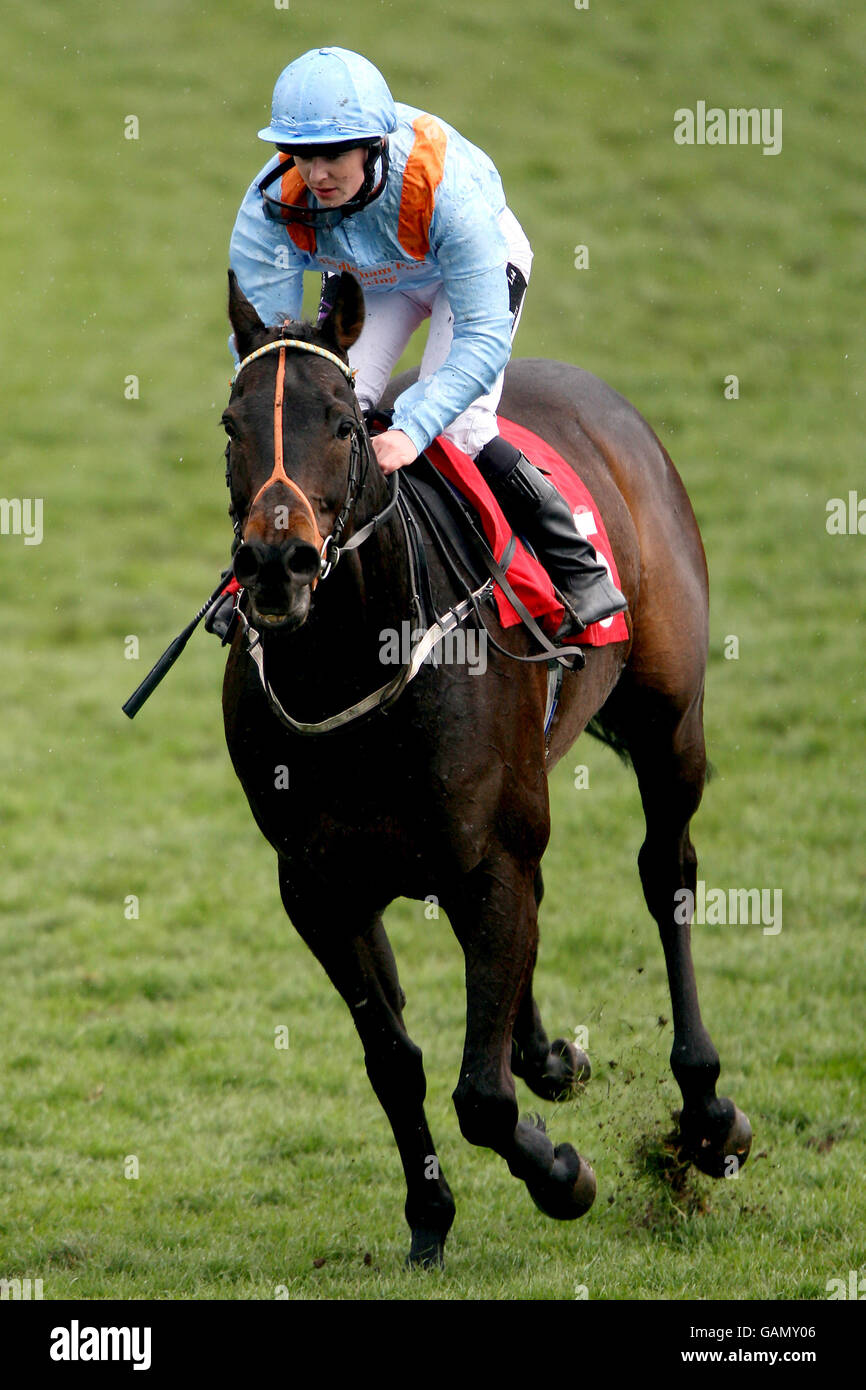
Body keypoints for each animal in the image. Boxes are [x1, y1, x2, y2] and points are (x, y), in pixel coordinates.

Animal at [219, 268, 751, 1267]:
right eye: (232, 424)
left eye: (343, 422)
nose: (276, 562)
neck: (358, 673)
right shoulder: (319, 888)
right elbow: (395, 1062)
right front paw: (430, 1216)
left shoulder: (492, 858)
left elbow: (480, 1096)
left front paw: (563, 1175)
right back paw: (550, 1056)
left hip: (670, 721)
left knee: (667, 874)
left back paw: (706, 1111)